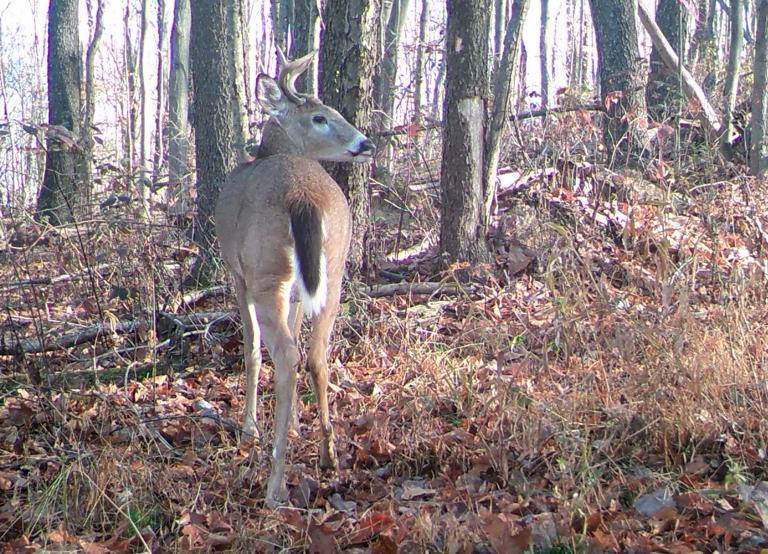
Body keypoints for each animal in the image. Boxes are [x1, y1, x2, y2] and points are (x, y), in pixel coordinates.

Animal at [214, 48, 375, 507]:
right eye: (321, 116)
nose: (366, 143)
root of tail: (304, 197)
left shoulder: (237, 272)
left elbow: (251, 349)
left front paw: (251, 426)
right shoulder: (305, 287)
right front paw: (294, 423)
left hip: (266, 271)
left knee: (286, 354)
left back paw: (275, 482)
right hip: (335, 267)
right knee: (316, 353)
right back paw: (328, 455)